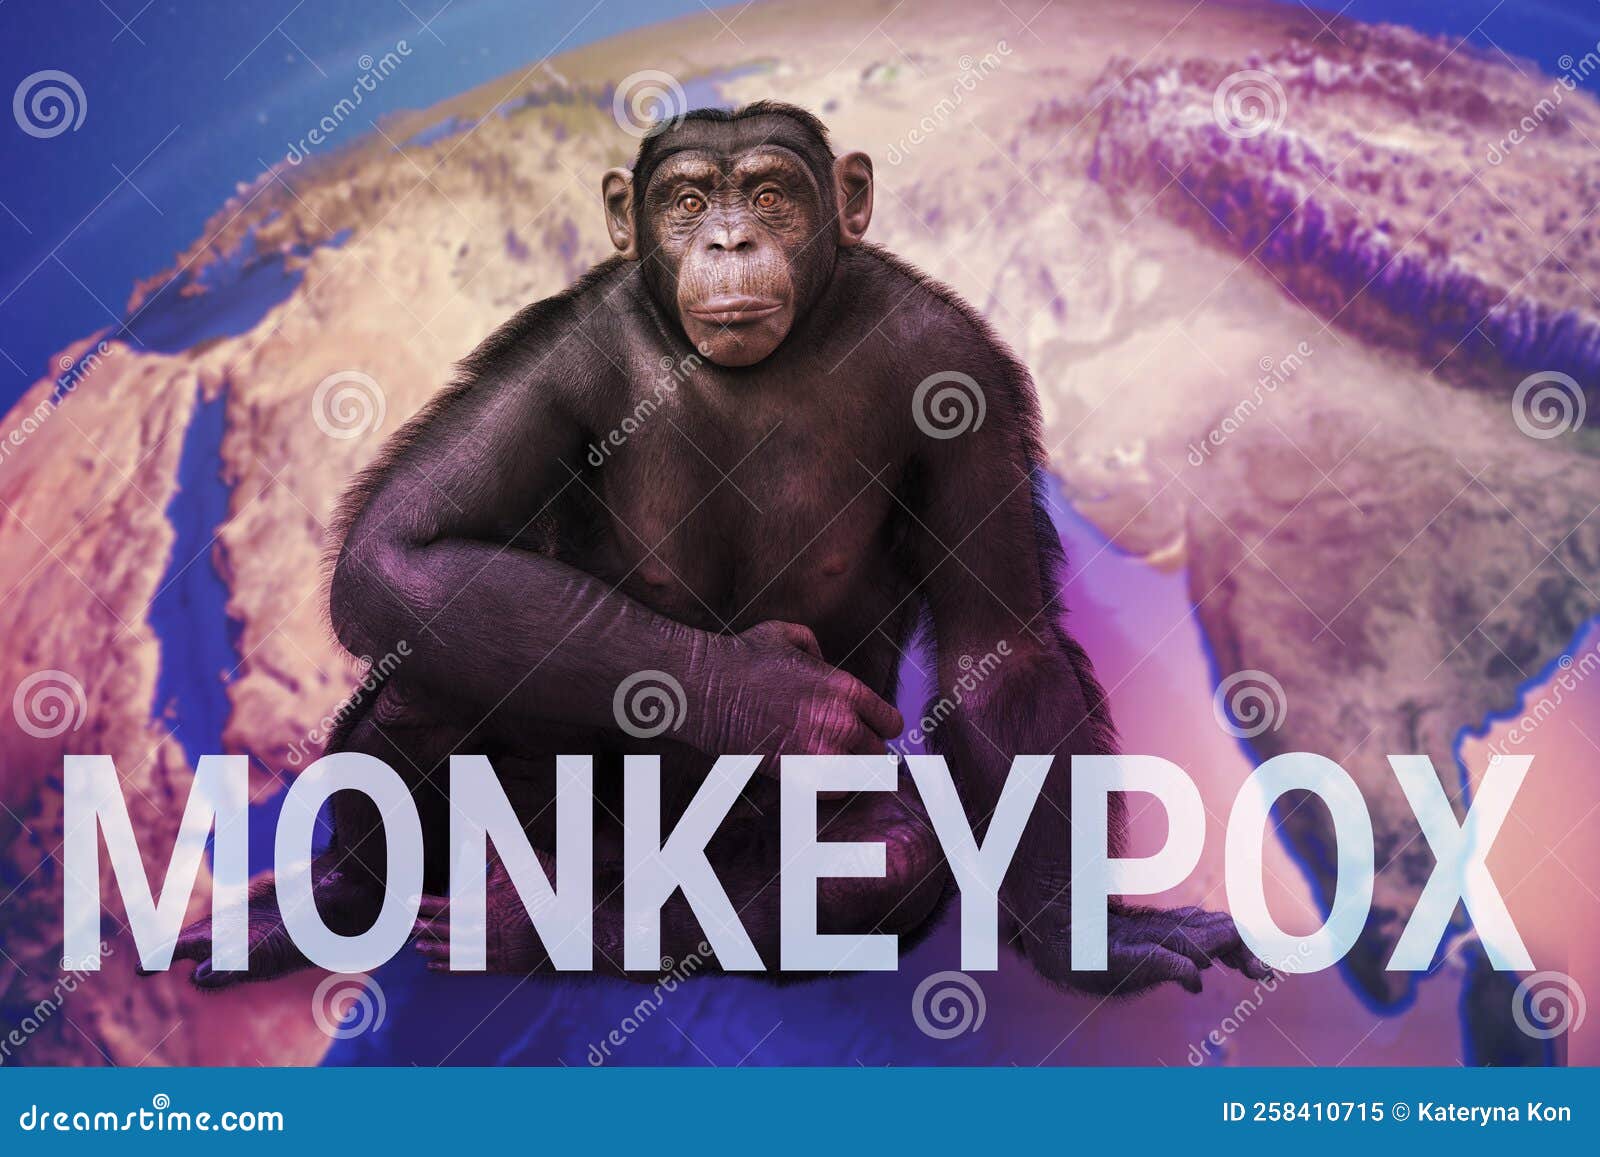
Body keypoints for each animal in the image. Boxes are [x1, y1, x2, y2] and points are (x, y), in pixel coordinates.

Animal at [161, 103, 1269, 995]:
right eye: (688, 198)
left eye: (772, 193)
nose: (732, 237)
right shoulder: (560, 349)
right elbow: (404, 549)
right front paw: (775, 697)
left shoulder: (958, 363)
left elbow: (1000, 646)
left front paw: (1086, 937)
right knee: (424, 670)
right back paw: (333, 907)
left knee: (892, 850)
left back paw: (536, 932)